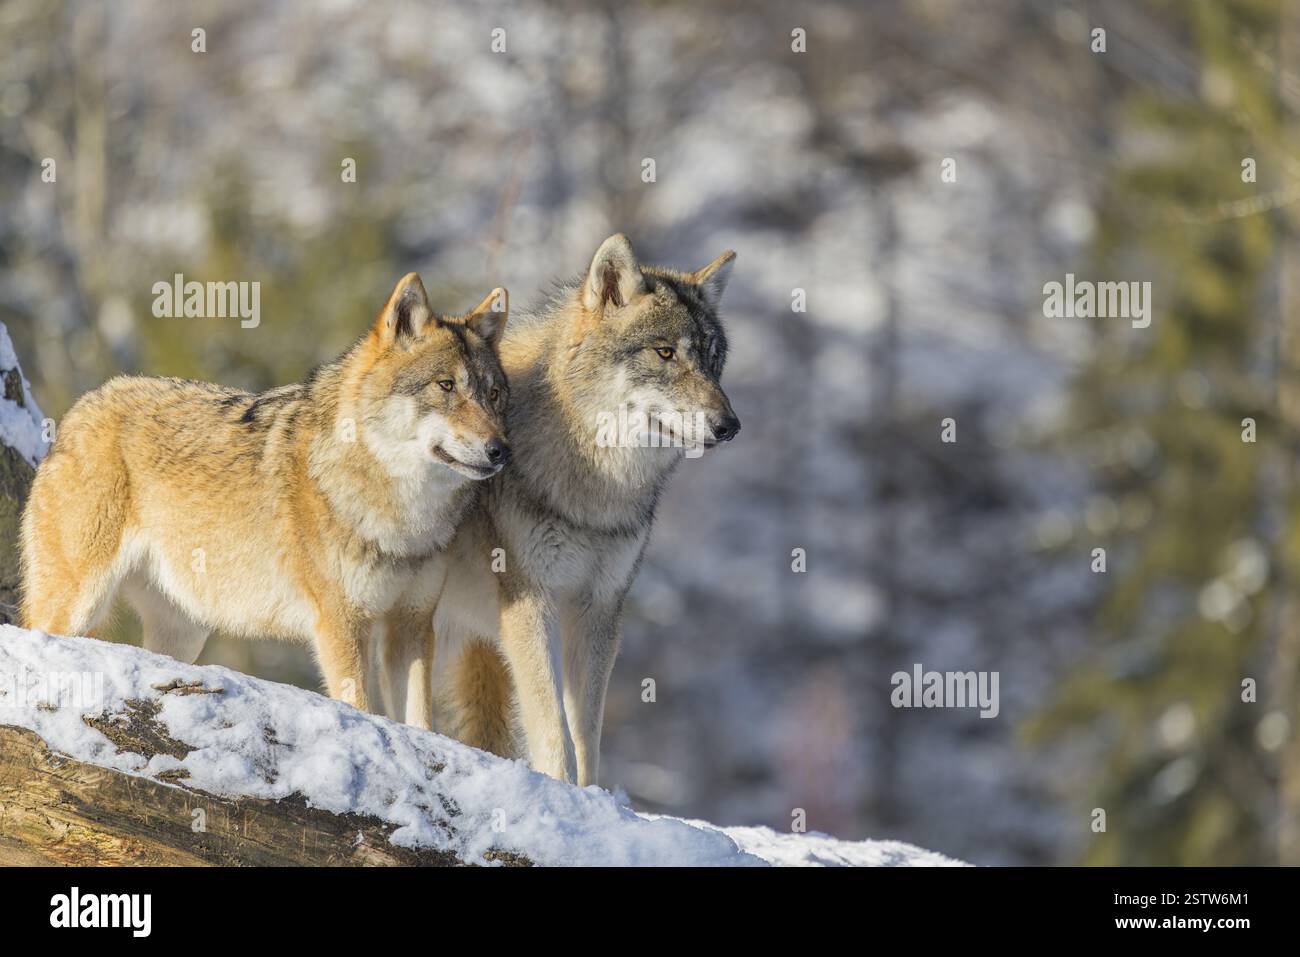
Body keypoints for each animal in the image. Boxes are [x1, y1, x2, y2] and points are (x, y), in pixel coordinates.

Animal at [20, 273, 510, 726]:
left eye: (493, 394)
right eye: (445, 386)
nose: (501, 450)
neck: (402, 514)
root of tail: (80, 408)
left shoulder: (411, 626)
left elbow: (421, 724)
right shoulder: (341, 624)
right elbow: (359, 705)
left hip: (183, 632)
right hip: (77, 603)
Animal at [427, 234, 739, 785]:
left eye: (712, 360)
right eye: (665, 352)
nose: (730, 425)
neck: (595, 492)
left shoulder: (599, 610)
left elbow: (586, 733)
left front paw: (591, 796)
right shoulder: (531, 605)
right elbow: (552, 728)